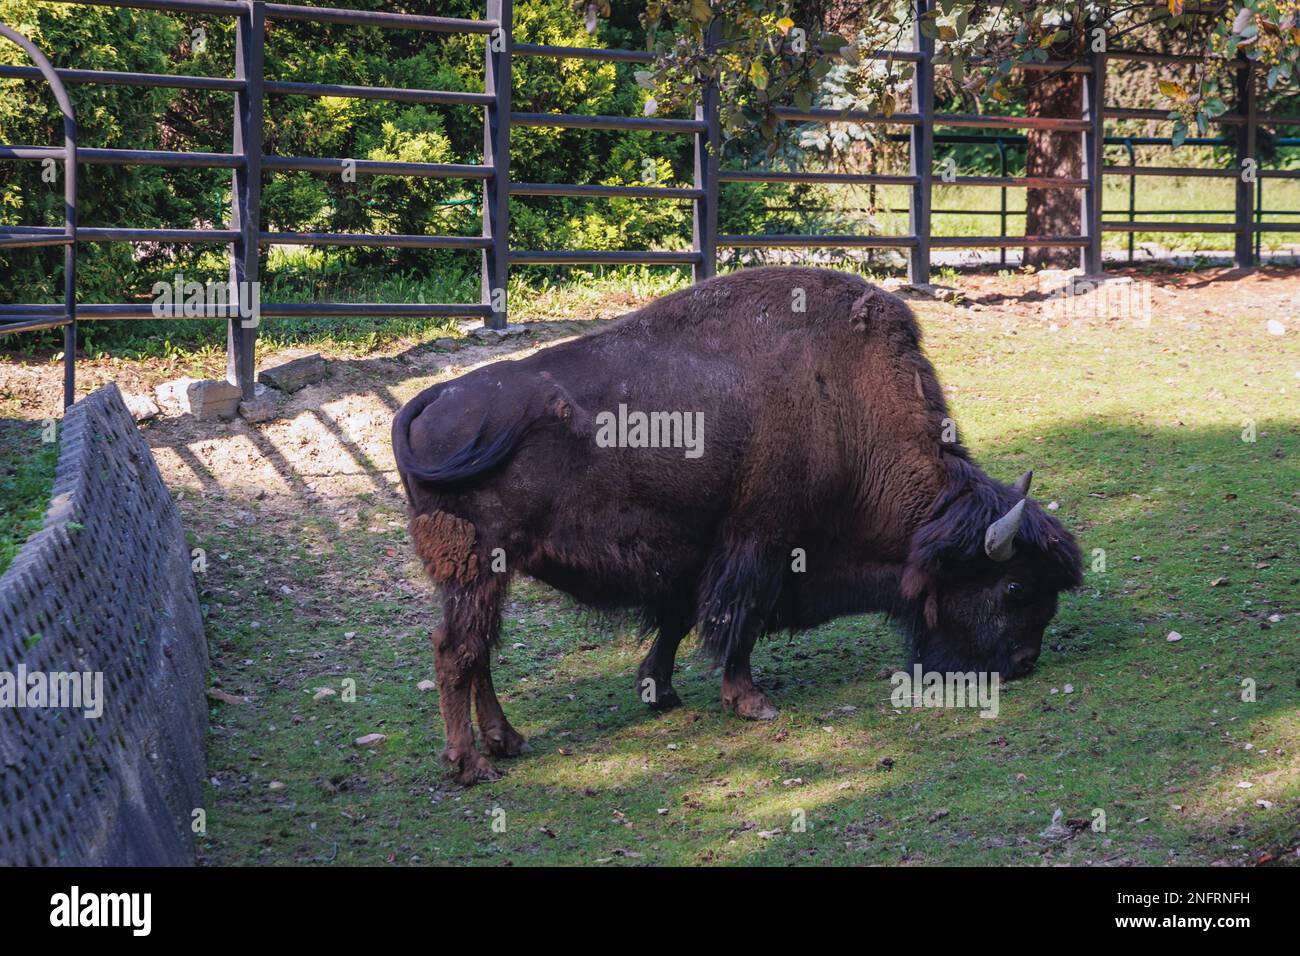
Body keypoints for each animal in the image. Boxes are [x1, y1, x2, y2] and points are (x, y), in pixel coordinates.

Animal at [393, 268, 1082, 784]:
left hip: (491, 574)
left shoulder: (699, 556)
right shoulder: (760, 541)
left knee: (478, 651)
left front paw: (661, 691)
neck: (844, 407)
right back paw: (472, 764)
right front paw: (751, 702)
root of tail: (428, 401)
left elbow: (679, 621)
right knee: (455, 650)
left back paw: (508, 741)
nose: (1023, 662)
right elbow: (739, 618)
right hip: (475, 566)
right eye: (1015, 586)